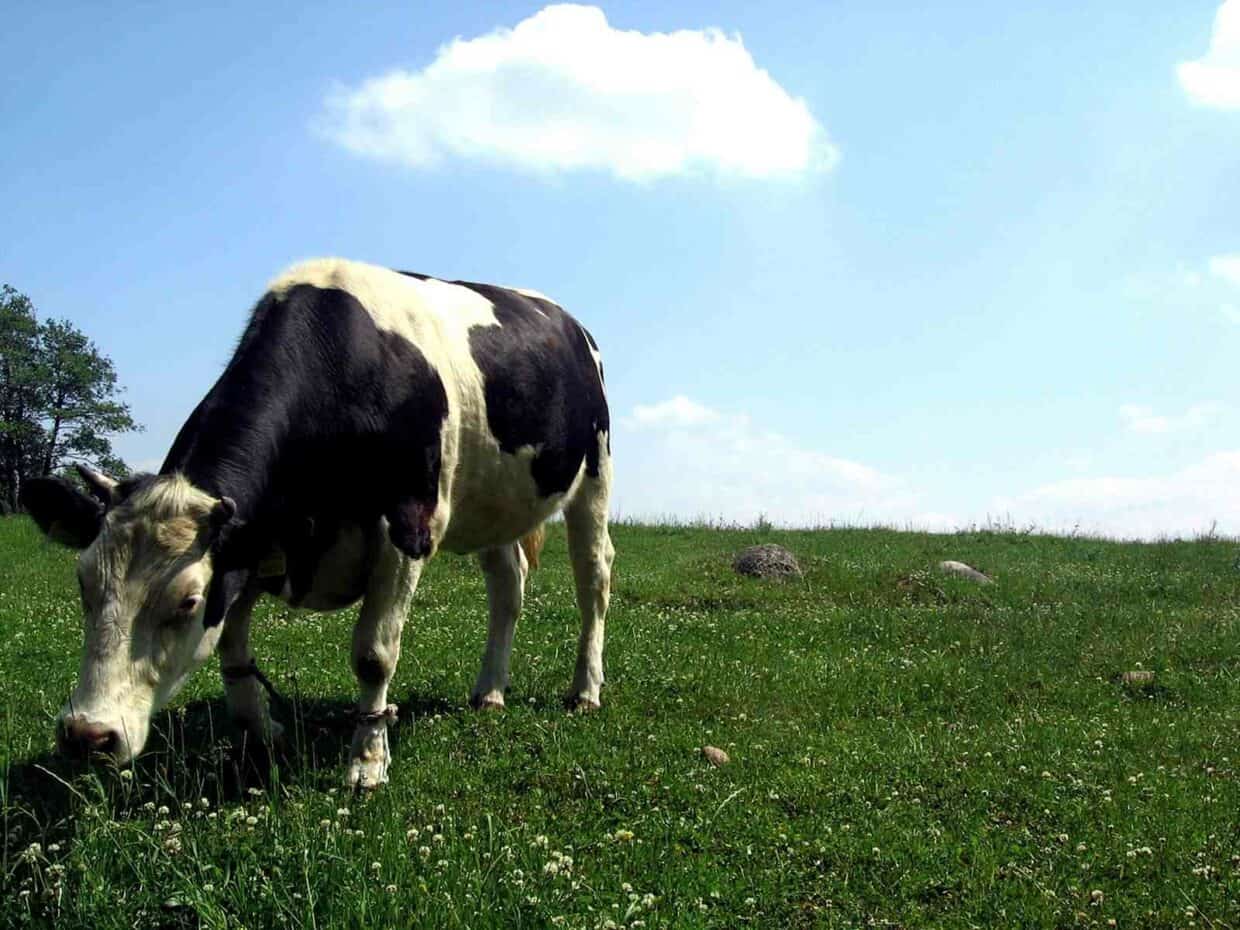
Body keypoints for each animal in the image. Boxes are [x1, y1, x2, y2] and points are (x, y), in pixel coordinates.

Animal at [20, 258, 614, 788]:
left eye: (187, 601)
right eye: (83, 583)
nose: (87, 734)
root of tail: (568, 319)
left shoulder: (407, 525)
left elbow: (374, 655)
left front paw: (367, 762)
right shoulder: (257, 541)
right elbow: (232, 644)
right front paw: (260, 730)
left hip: (594, 473)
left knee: (594, 578)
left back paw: (585, 690)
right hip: (493, 503)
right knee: (508, 585)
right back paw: (489, 690)